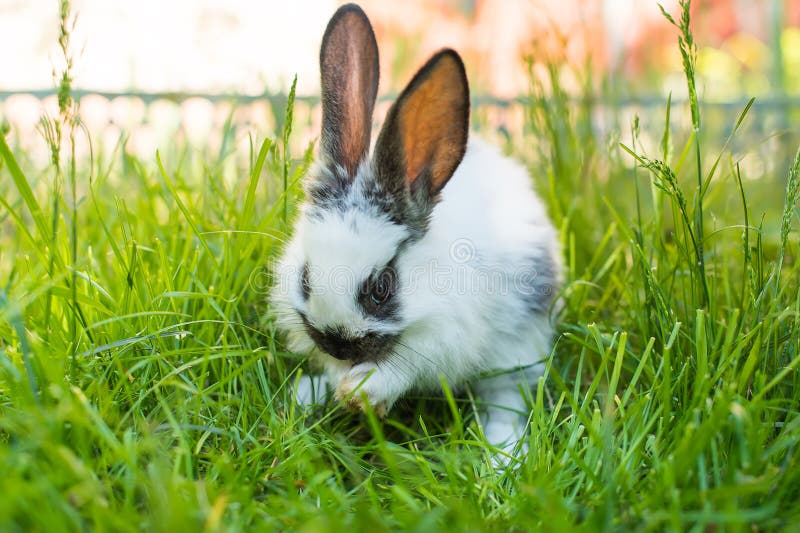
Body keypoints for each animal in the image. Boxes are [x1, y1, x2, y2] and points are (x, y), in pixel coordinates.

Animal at [270, 3, 561, 456]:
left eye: (382, 288)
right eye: (305, 277)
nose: (336, 342)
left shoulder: (441, 339)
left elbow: (404, 369)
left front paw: (363, 392)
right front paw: (338, 388)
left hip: (518, 345)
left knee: (507, 399)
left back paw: (503, 456)